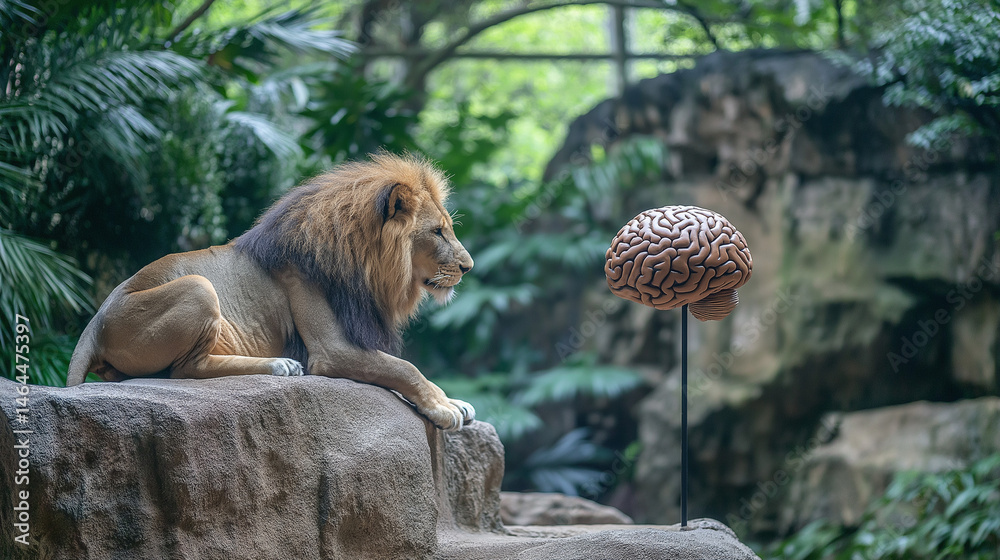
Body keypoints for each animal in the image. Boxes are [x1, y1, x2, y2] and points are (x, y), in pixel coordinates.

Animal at [66, 153, 476, 431]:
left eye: (448, 228)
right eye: (437, 232)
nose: (468, 266)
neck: (363, 263)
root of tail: (95, 321)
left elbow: (403, 369)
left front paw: (454, 400)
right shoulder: (331, 350)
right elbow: (403, 367)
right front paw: (443, 408)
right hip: (199, 287)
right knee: (183, 371)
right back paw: (280, 365)